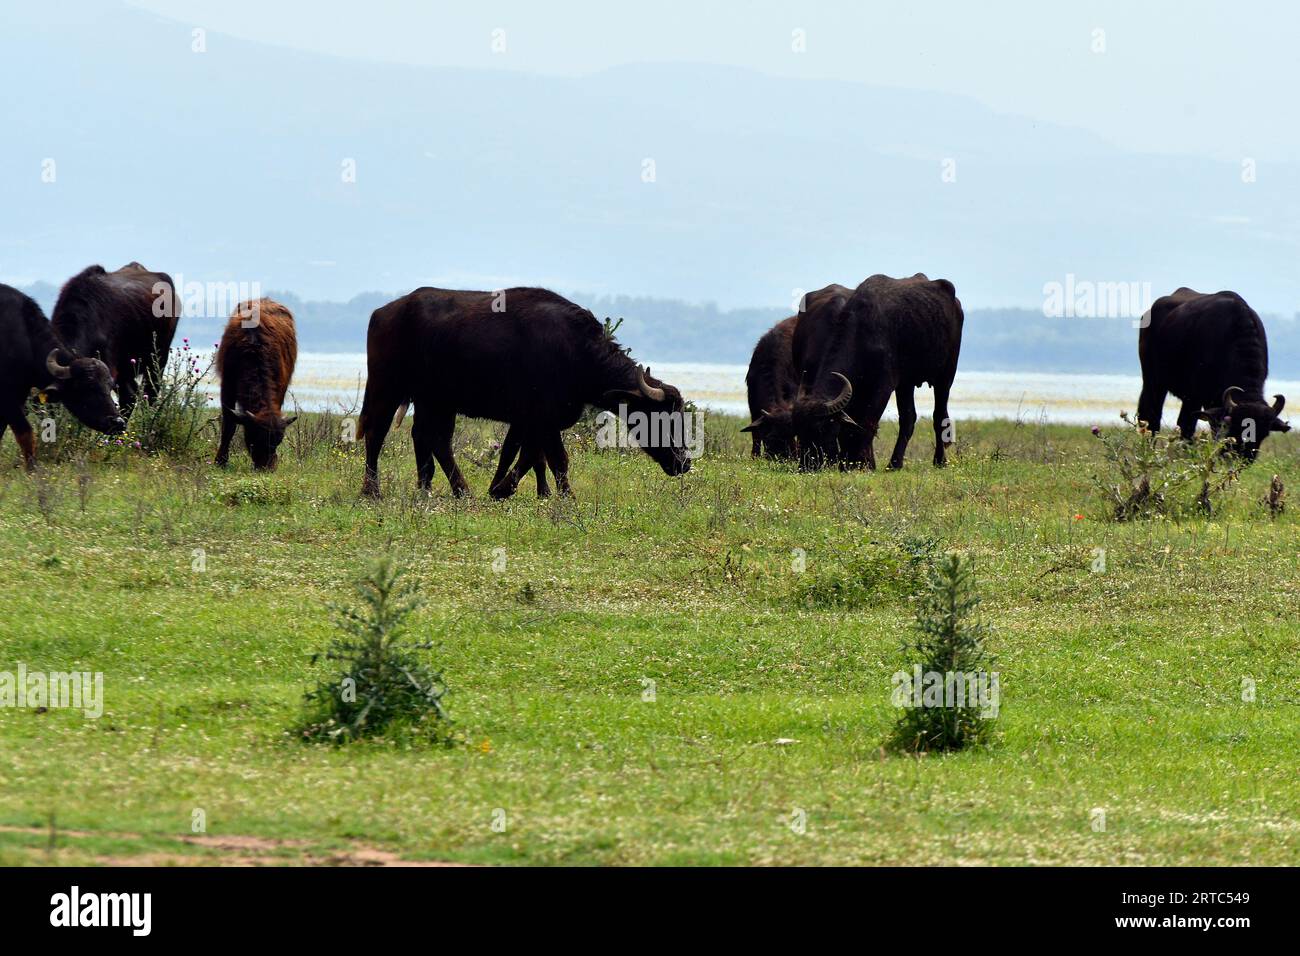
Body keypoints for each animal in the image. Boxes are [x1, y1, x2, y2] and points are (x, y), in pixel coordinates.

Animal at [0, 284, 125, 469]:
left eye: (109, 387)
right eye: (88, 387)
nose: (118, 422)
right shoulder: (8, 399)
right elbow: (25, 432)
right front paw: (32, 468)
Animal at [215, 298, 299, 470]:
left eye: (277, 443)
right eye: (254, 438)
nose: (266, 467)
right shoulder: (227, 386)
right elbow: (229, 425)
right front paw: (220, 460)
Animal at [358, 287, 691, 498]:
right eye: (661, 417)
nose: (684, 462)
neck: (574, 352)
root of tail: (383, 313)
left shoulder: (529, 420)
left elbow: (521, 453)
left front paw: (503, 488)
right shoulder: (542, 418)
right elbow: (555, 459)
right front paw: (561, 496)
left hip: (436, 401)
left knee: (431, 438)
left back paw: (439, 488)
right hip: (387, 389)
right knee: (378, 434)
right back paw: (373, 491)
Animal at [791, 274, 963, 470]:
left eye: (821, 429)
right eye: (798, 429)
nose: (806, 465)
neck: (862, 336)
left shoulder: (883, 387)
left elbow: (868, 423)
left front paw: (862, 463)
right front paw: (851, 462)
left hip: (946, 377)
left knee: (939, 417)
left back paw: (939, 461)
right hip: (906, 384)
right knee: (908, 418)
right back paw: (894, 463)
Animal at [1138, 288, 1288, 461]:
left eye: (1264, 434)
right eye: (1236, 428)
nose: (1243, 459)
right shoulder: (1194, 398)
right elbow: (1187, 427)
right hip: (1153, 382)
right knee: (1150, 416)